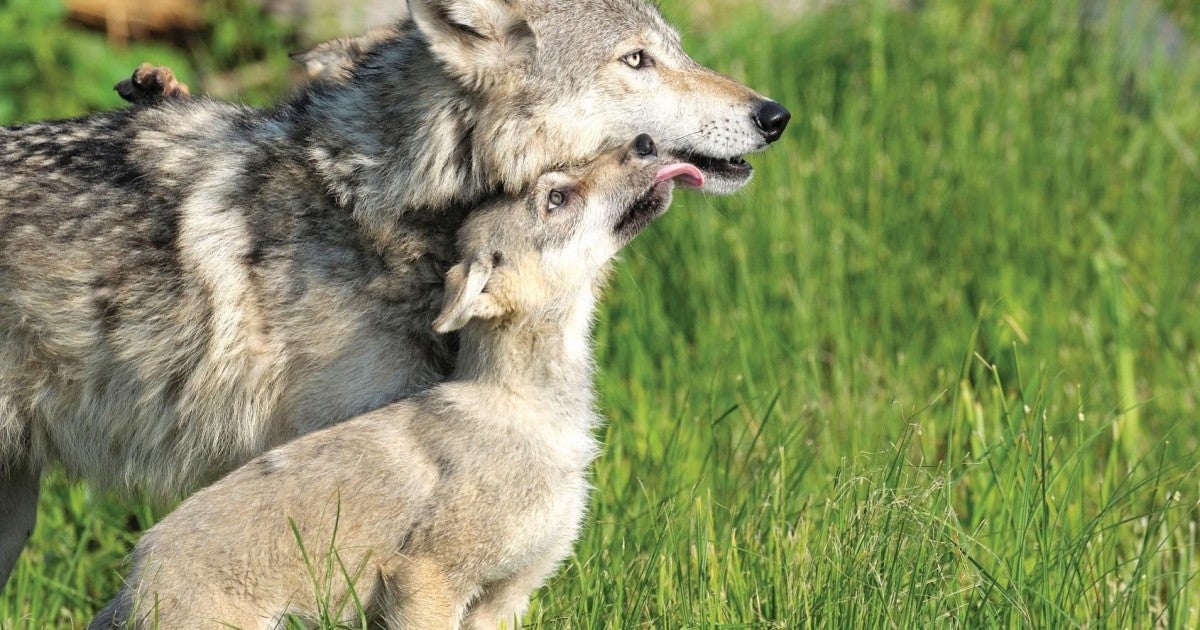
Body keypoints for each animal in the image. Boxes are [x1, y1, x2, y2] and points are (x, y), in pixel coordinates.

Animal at [90, 134, 697, 630]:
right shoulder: (426, 579)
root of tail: (130, 589)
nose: (645, 143)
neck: (529, 409)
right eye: (556, 199)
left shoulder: (506, 599)